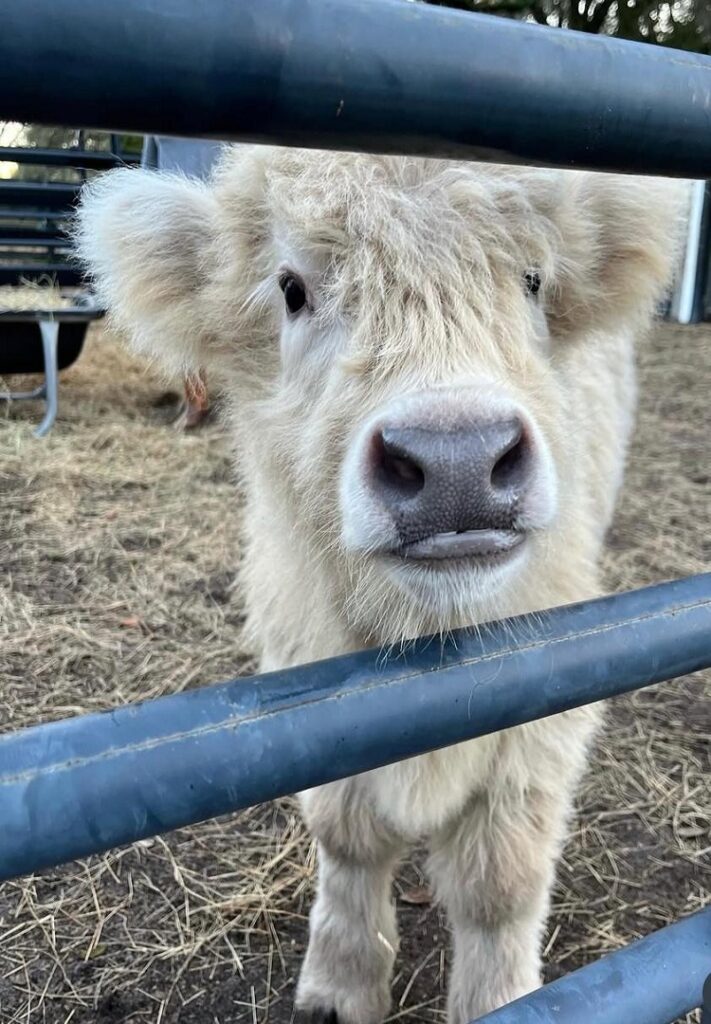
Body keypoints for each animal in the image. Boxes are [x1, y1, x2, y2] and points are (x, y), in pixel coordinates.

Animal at [76, 147, 683, 1024]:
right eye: (291, 287)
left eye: (533, 278)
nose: (457, 463)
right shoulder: (309, 669)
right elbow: (349, 839)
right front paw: (340, 983)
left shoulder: (547, 708)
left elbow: (499, 884)